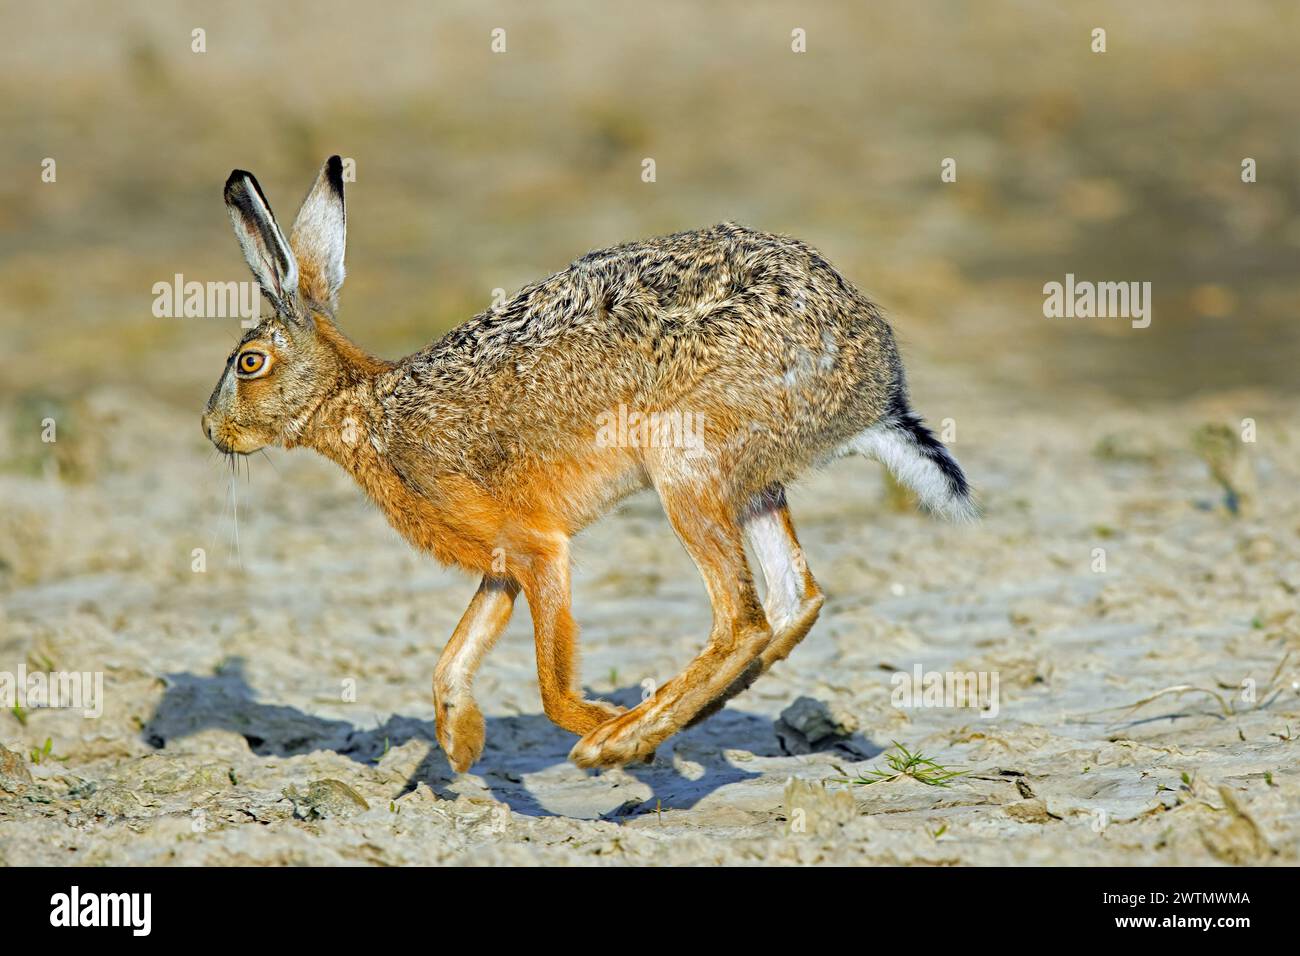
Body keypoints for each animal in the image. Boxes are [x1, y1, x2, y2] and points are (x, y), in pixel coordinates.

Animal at [202, 156, 976, 772]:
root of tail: (876, 390)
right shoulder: (503, 563)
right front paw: (460, 744)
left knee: (743, 620)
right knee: (795, 599)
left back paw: (625, 741)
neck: (365, 409)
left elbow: (549, 684)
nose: (211, 430)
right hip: (752, 482)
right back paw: (689, 711)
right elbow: (452, 657)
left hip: (684, 464)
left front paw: (596, 727)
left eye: (249, 363)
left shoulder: (538, 549)